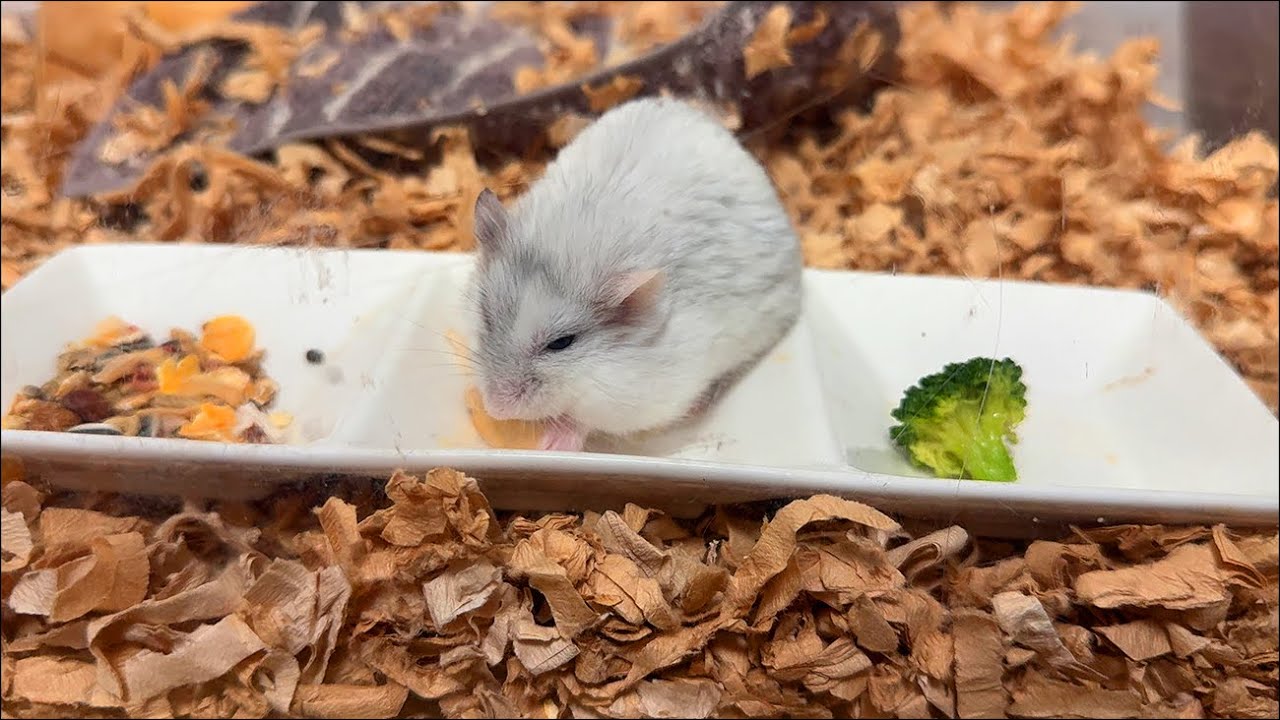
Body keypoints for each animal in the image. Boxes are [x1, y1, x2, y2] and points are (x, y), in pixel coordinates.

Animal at [467, 96, 803, 452]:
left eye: (561, 343)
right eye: (485, 317)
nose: (497, 408)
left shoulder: (640, 400)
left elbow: (585, 421)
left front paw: (555, 443)